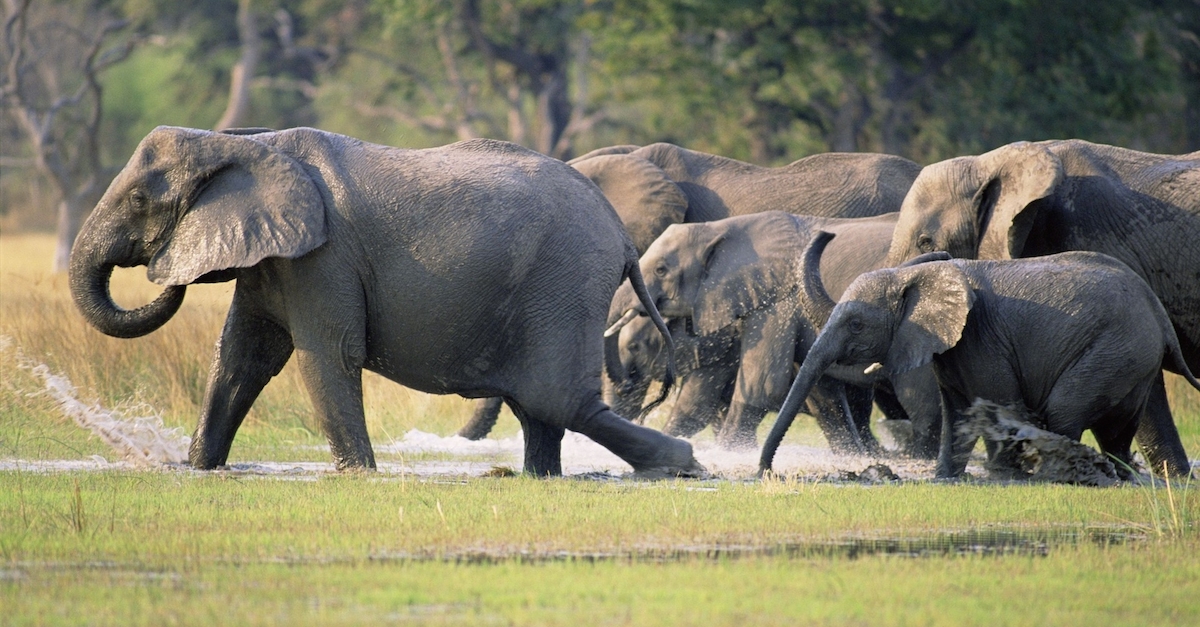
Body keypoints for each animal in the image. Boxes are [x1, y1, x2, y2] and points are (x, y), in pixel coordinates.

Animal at [68, 125, 705, 478]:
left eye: (140, 199)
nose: (164, 277)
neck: (245, 144)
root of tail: (621, 234)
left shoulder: (324, 257)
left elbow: (326, 358)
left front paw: (360, 477)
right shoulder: (278, 259)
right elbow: (242, 359)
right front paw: (199, 469)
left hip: (564, 283)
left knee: (561, 400)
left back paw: (684, 464)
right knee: (542, 410)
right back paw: (545, 477)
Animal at [607, 211, 943, 454]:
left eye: (661, 269)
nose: (627, 386)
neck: (719, 229)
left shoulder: (776, 303)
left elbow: (762, 386)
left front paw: (730, 453)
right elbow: (823, 396)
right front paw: (854, 457)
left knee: (922, 401)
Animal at [760, 233, 1200, 479]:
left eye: (855, 324)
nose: (766, 474)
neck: (913, 276)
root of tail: (1159, 316)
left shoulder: (981, 339)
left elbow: (995, 404)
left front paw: (1001, 476)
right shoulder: (952, 350)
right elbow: (956, 414)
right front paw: (944, 479)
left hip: (1114, 349)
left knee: (1065, 413)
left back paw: (1055, 474)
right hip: (1131, 358)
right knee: (1119, 431)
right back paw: (1119, 476)